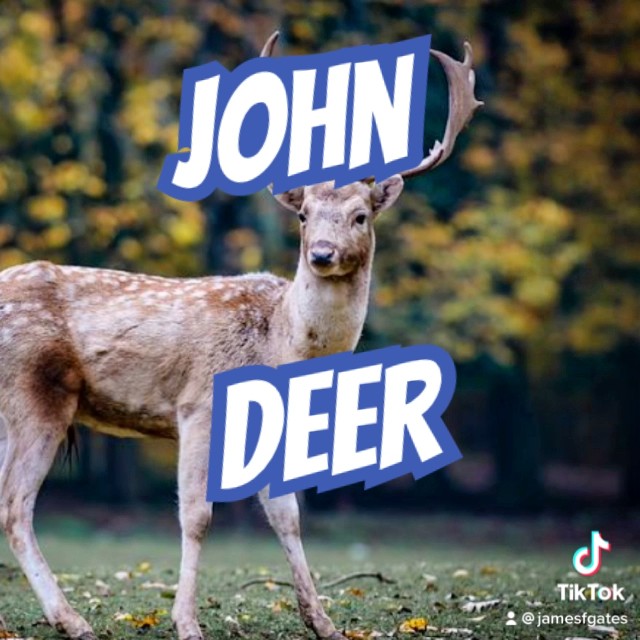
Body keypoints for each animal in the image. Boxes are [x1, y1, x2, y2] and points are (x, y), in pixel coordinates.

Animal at [0, 31, 481, 640]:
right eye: (303, 216)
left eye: (360, 216)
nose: (322, 254)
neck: (281, 343)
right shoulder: (198, 405)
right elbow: (197, 516)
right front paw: (186, 622)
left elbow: (287, 517)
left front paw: (323, 622)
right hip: (35, 391)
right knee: (16, 505)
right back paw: (74, 620)